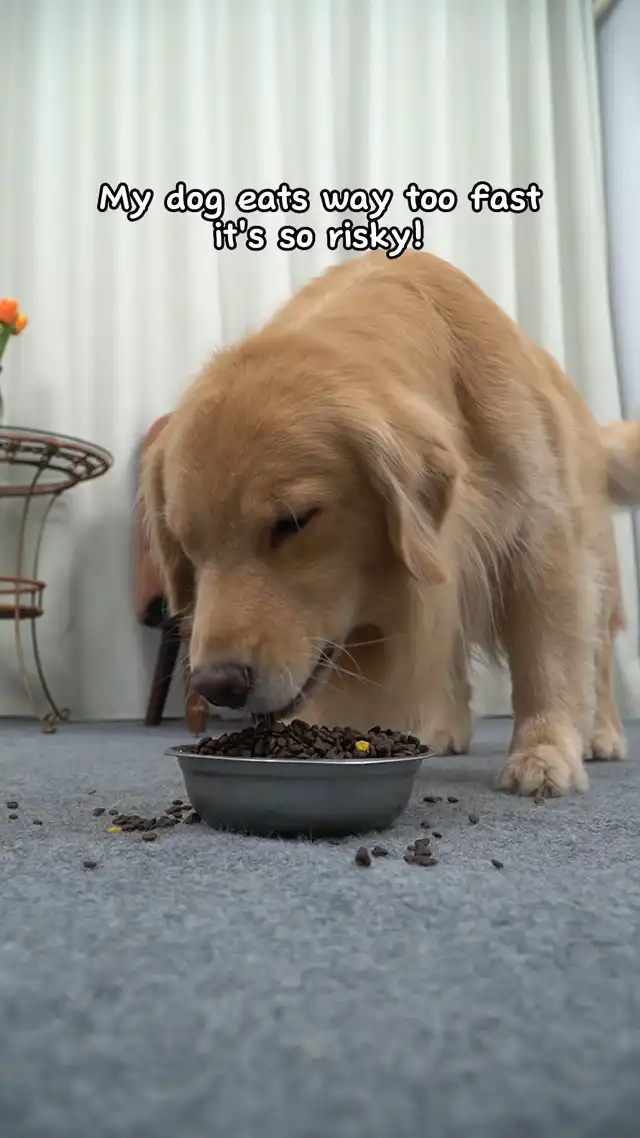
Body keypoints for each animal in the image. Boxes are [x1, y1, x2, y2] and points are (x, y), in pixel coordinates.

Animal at [141, 251, 640, 796]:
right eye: (187, 545)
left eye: (293, 522)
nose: (217, 684)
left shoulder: (542, 547)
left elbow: (545, 663)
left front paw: (544, 751)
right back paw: (443, 728)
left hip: (598, 564)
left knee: (597, 658)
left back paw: (602, 733)